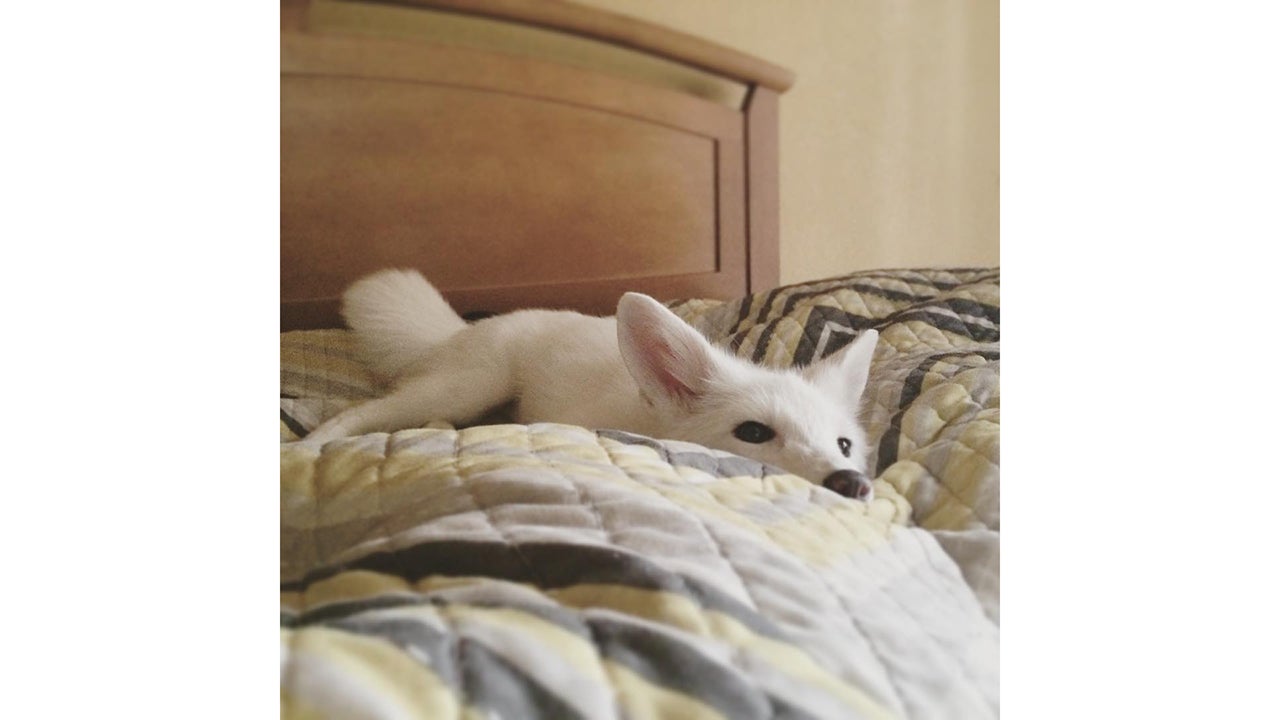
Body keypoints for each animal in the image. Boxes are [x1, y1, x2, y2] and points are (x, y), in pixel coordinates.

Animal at [304, 269, 880, 501]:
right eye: (755, 434)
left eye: (844, 445)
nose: (851, 484)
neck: (638, 414)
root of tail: (461, 329)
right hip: (472, 385)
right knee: (360, 413)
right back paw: (309, 447)